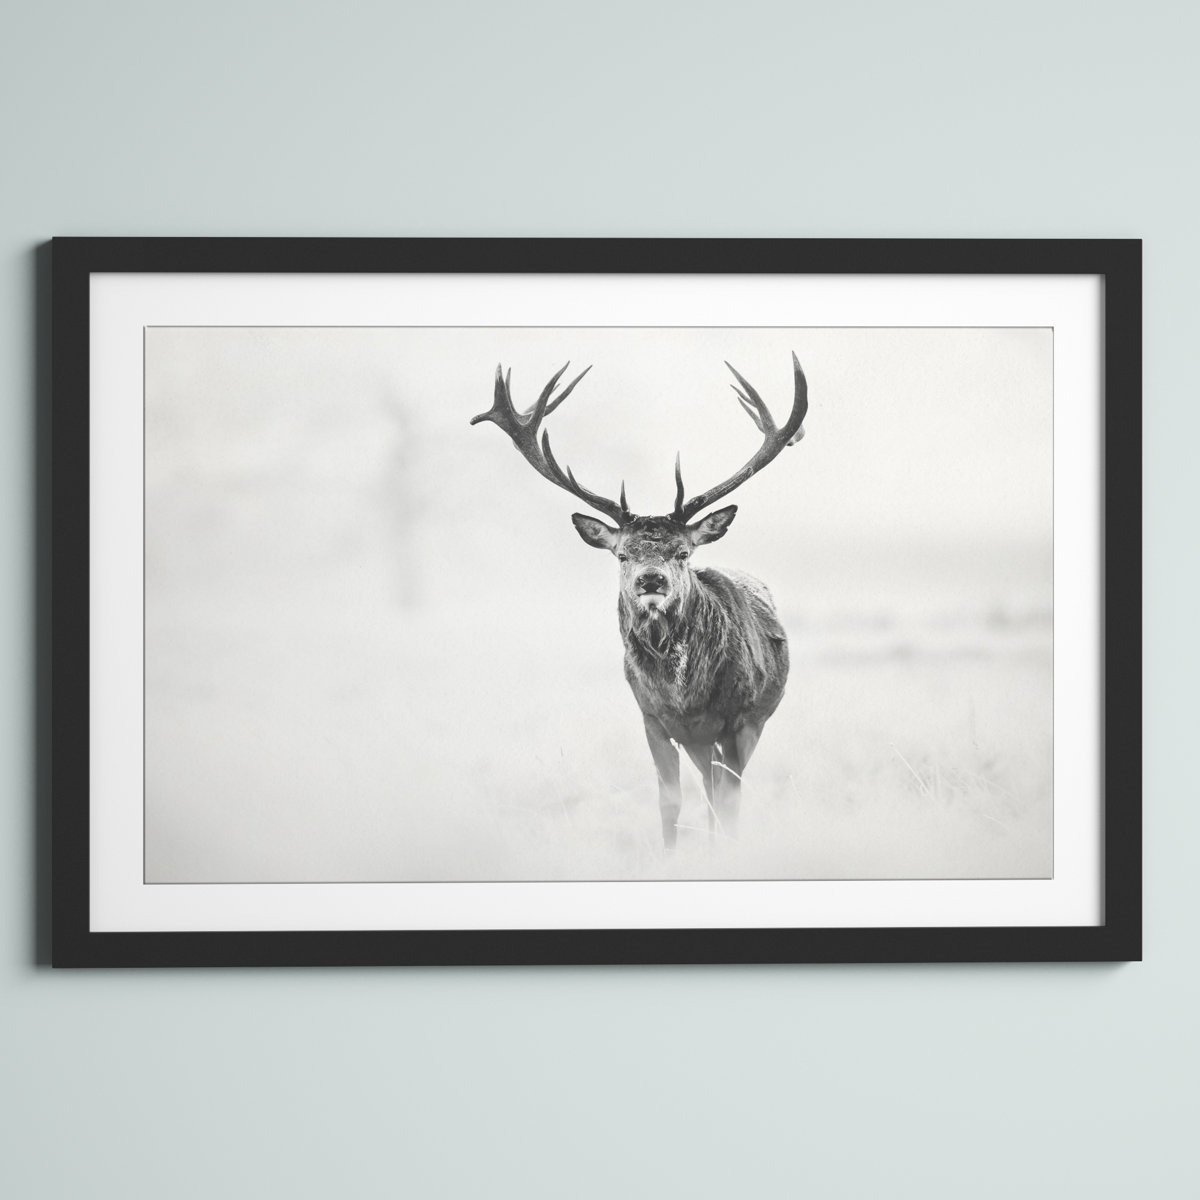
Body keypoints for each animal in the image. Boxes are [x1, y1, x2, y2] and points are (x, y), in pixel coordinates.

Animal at [470, 354, 808, 849]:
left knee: (720, 792)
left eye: (683, 553)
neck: (684, 696)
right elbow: (670, 802)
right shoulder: (652, 719)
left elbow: (730, 804)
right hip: (697, 741)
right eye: (623, 554)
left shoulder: (739, 720)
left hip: (750, 724)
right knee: (707, 786)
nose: (651, 579)